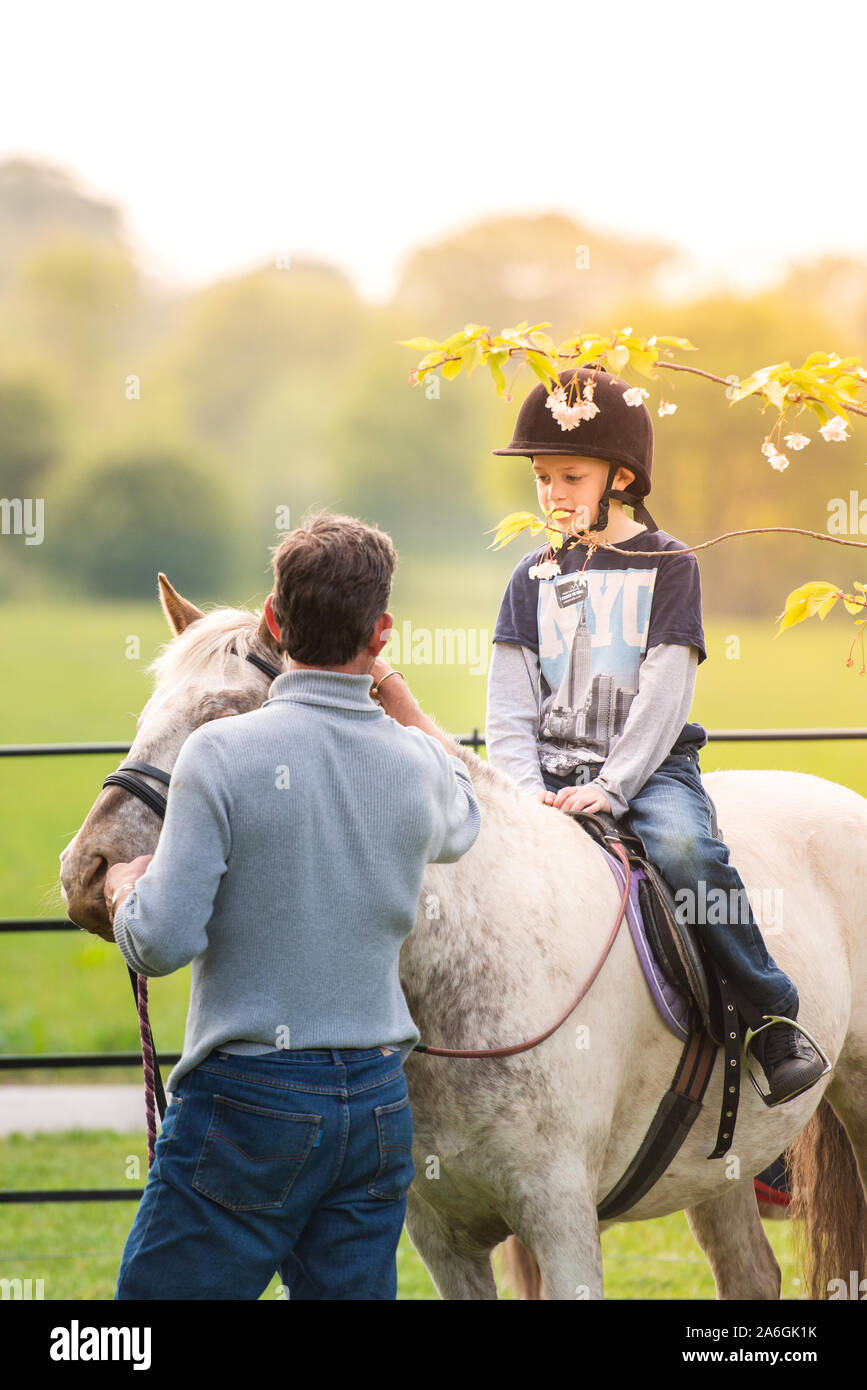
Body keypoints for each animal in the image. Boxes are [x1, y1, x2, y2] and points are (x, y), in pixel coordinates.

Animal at [59, 575, 867, 1300]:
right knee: (750, 1275)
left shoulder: (559, 1223)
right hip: (718, 1168)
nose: (86, 871)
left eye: (223, 714)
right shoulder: (441, 1237)